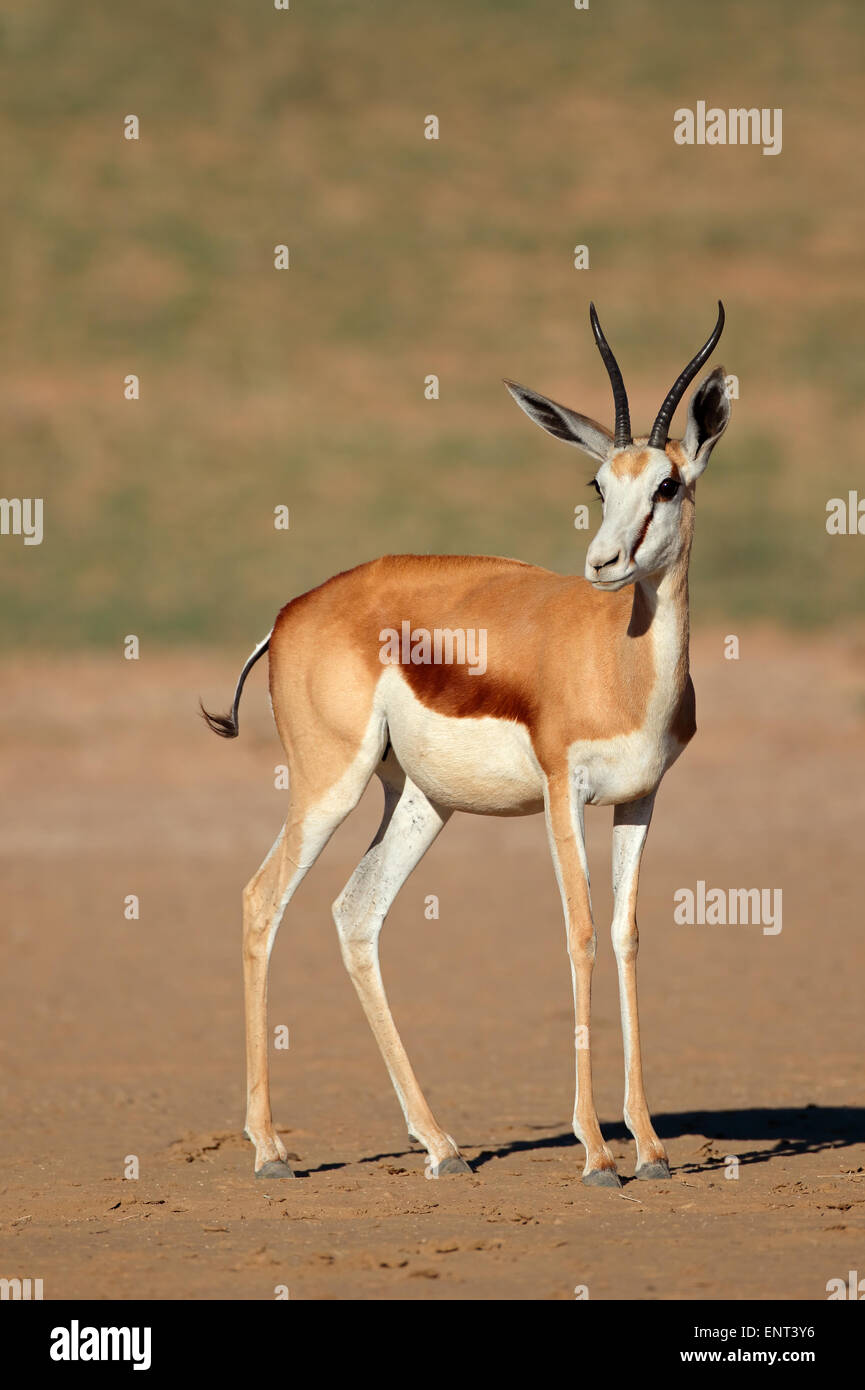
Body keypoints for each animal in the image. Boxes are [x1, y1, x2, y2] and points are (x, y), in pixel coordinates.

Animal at [203, 303, 730, 1186]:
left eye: (667, 484)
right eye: (597, 484)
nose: (604, 563)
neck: (618, 661)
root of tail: (289, 614)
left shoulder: (642, 798)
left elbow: (624, 937)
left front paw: (651, 1148)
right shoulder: (561, 791)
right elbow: (578, 932)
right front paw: (596, 1154)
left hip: (419, 801)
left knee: (354, 912)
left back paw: (441, 1145)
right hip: (329, 786)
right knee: (260, 900)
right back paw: (271, 1150)